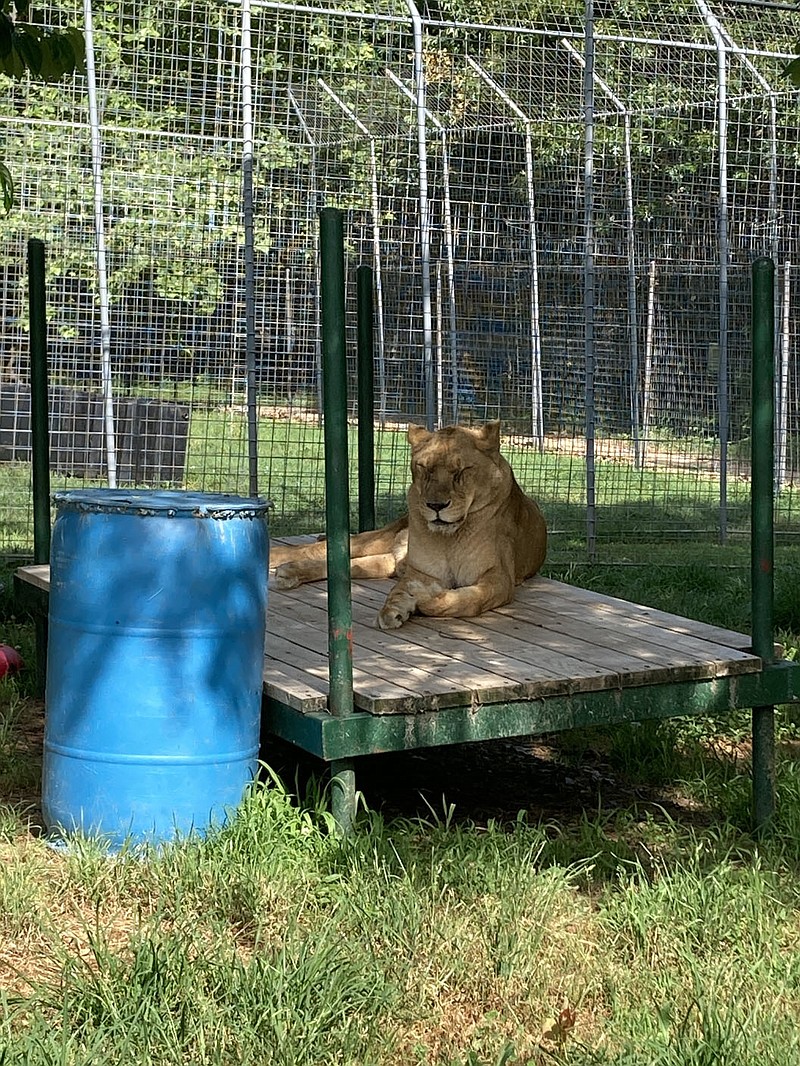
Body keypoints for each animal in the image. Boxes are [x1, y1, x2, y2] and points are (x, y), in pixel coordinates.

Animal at [269, 421, 547, 630]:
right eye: (424, 468)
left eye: (460, 472)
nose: (436, 505)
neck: (450, 537)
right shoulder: (419, 570)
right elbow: (399, 591)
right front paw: (397, 606)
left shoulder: (499, 578)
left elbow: (466, 601)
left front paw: (421, 598)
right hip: (387, 537)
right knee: (332, 548)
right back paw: (282, 561)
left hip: (392, 562)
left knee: (356, 565)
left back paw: (291, 571)